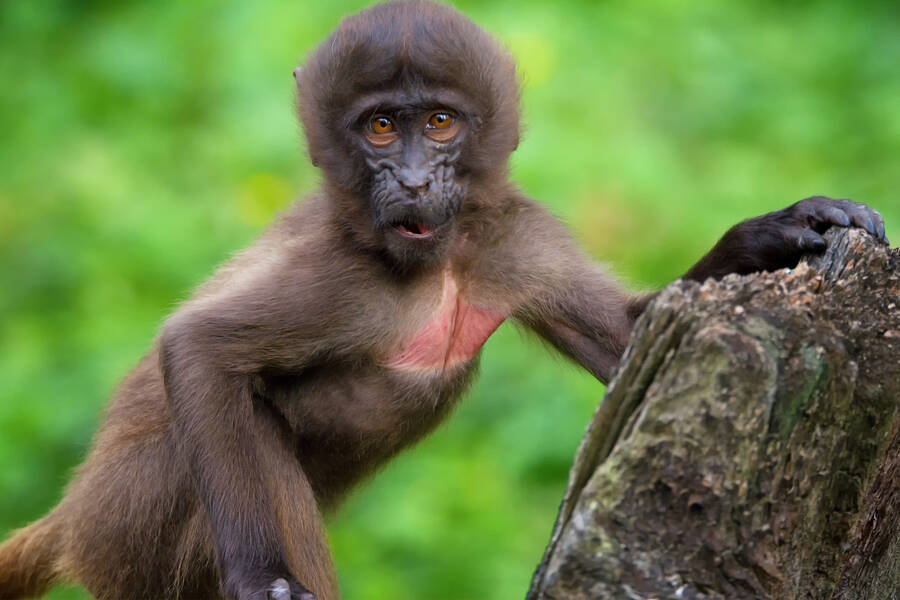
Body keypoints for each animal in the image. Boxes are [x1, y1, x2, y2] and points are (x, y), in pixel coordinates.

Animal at [0, 2, 888, 599]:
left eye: (437, 122)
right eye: (380, 129)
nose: (415, 182)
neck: (441, 262)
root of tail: (71, 519)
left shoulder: (516, 236)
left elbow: (628, 338)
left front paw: (779, 231)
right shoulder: (343, 278)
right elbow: (200, 350)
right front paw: (261, 579)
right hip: (130, 526)